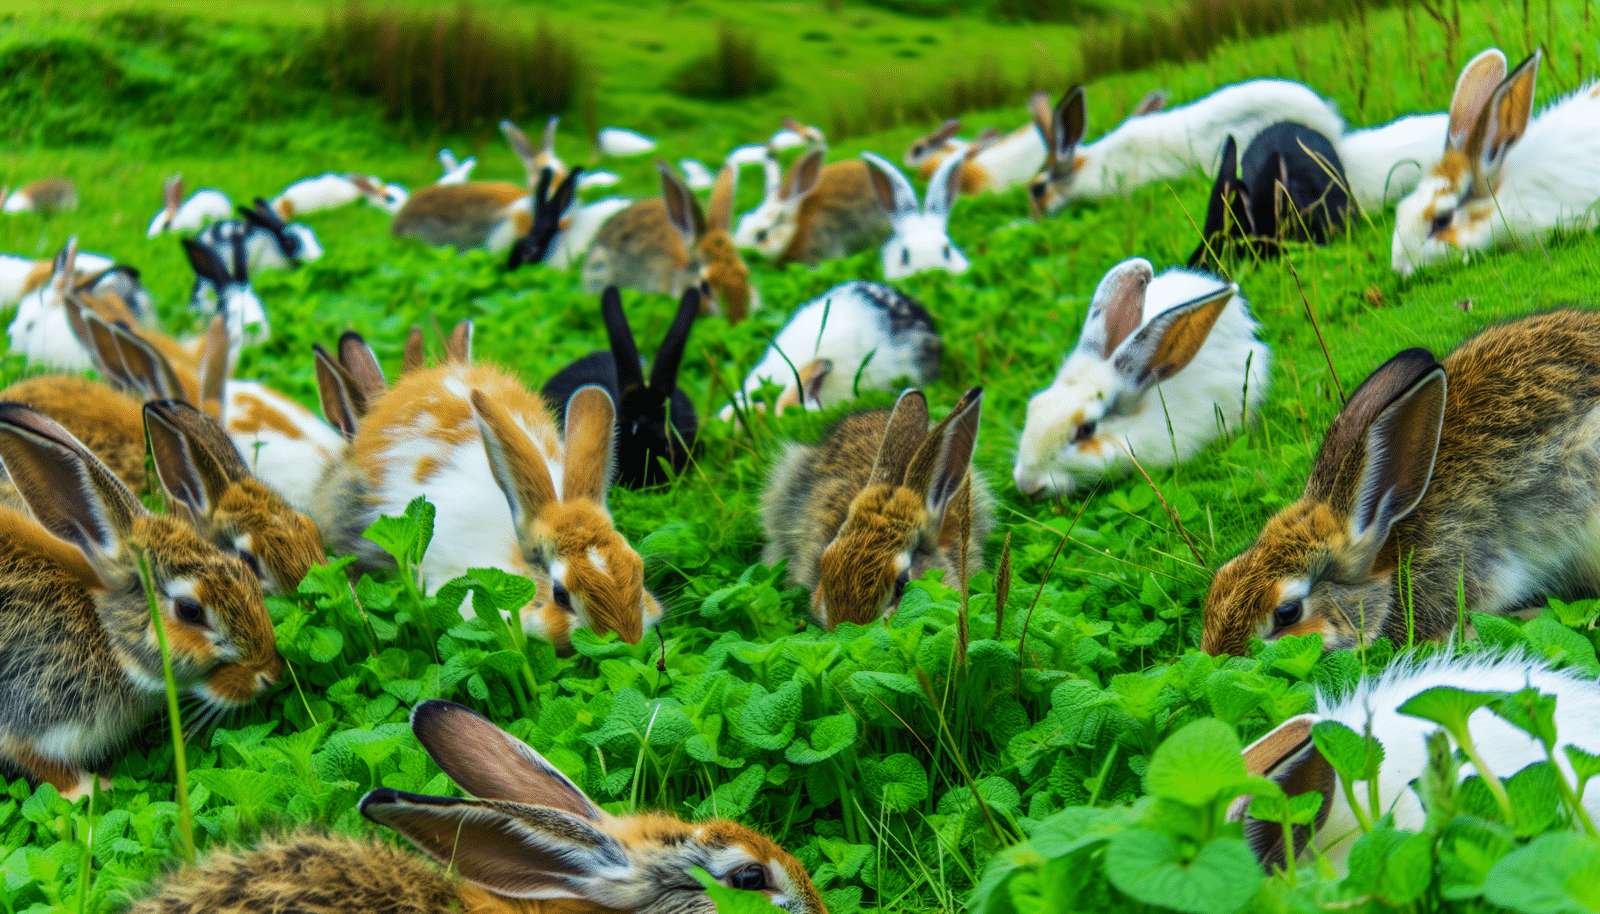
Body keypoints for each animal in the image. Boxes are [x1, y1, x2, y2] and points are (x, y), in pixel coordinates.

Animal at [0, 403, 281, 800]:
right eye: (190, 611)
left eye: (243, 570)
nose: (271, 673)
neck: (106, 636)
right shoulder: (28, 712)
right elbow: (46, 766)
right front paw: (95, 791)